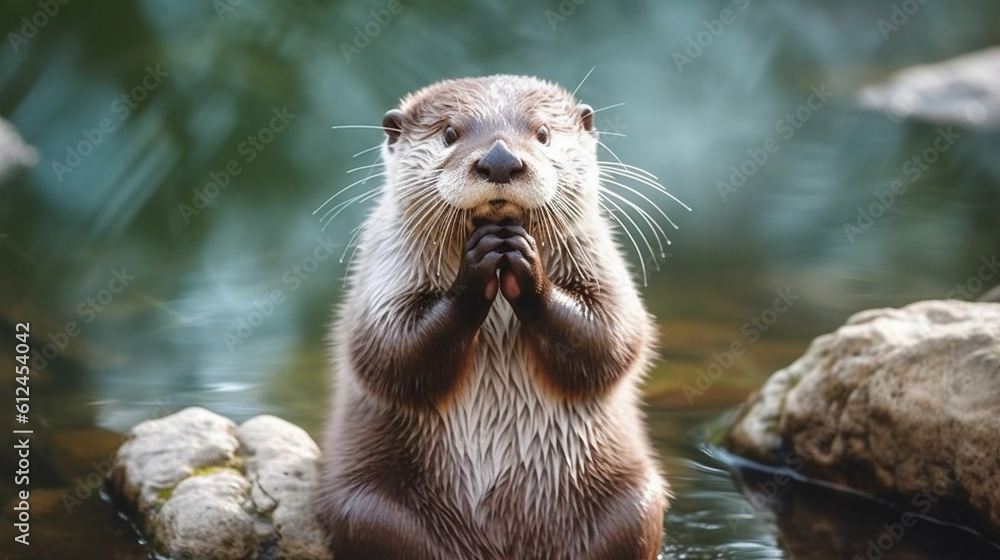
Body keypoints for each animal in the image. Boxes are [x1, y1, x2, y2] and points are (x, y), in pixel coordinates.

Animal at [316, 75, 668, 560]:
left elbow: (615, 338)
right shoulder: (383, 272)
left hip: (634, 505)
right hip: (371, 509)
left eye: (542, 133)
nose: (500, 159)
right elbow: (385, 354)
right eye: (450, 133)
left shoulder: (599, 258)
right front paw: (477, 268)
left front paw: (526, 265)